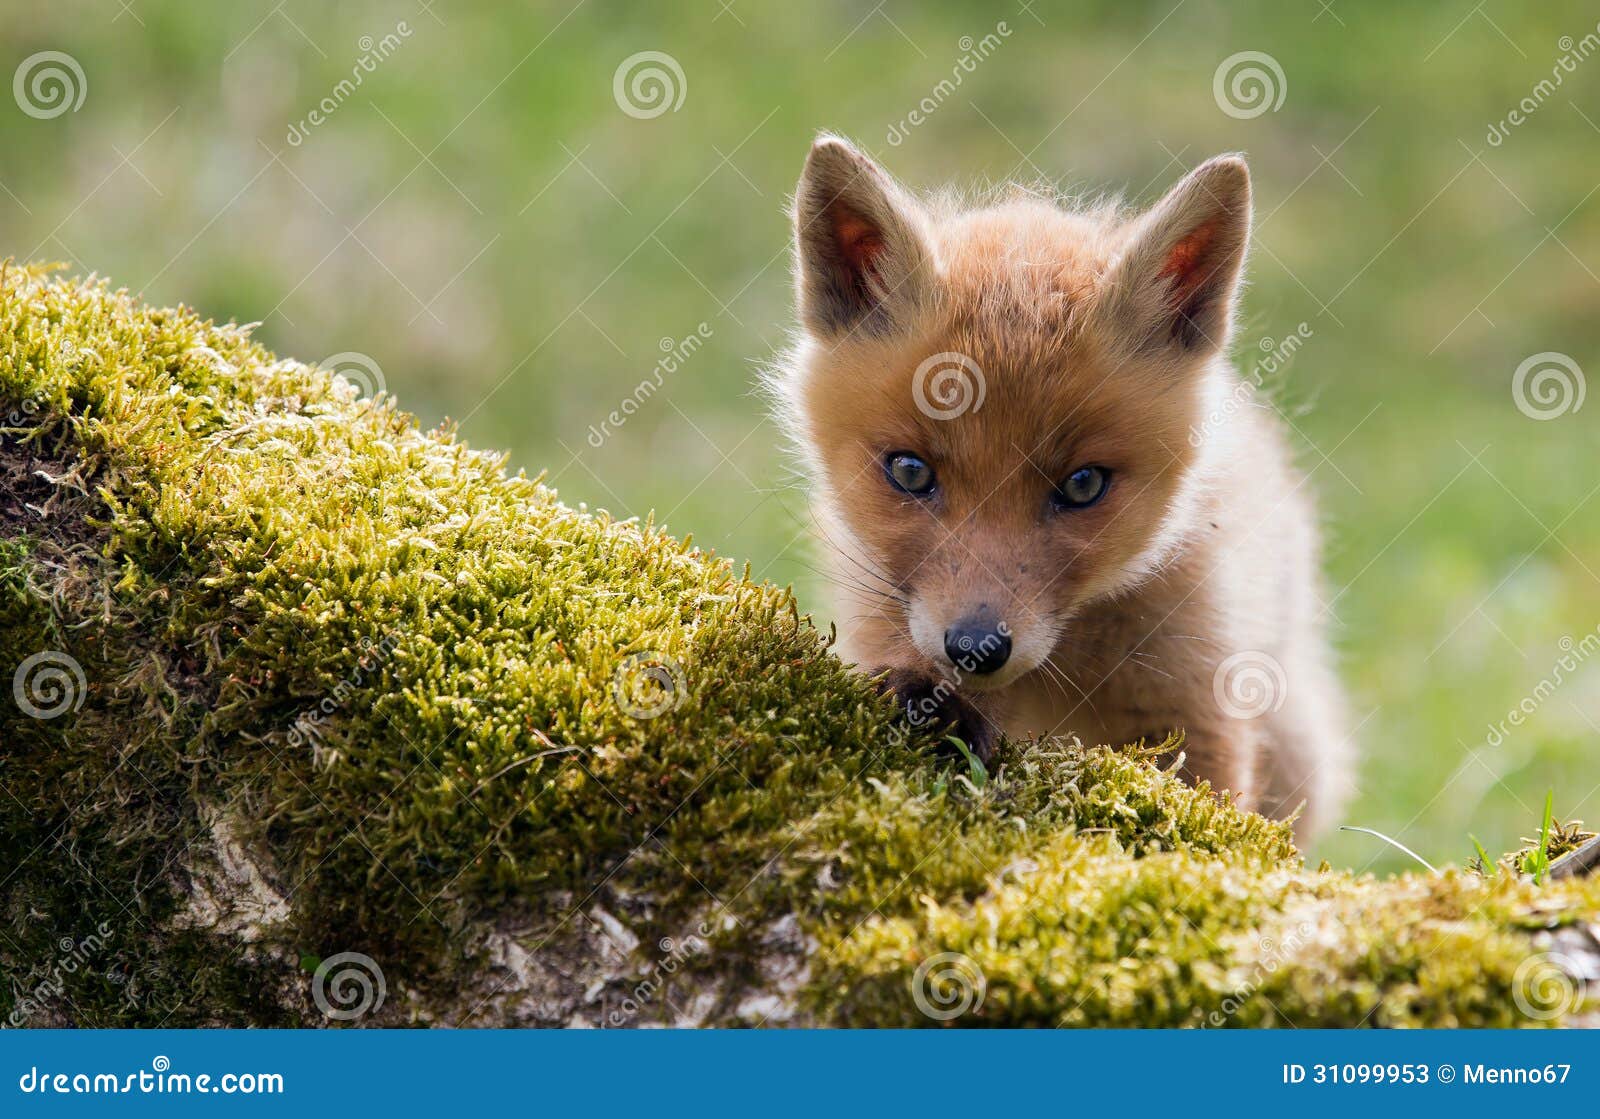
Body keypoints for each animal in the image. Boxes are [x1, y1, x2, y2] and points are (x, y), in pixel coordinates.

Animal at [772, 135, 1352, 840]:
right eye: (910, 472)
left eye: (1082, 485)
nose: (976, 648)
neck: (1053, 682)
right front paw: (930, 705)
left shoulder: (1199, 703)